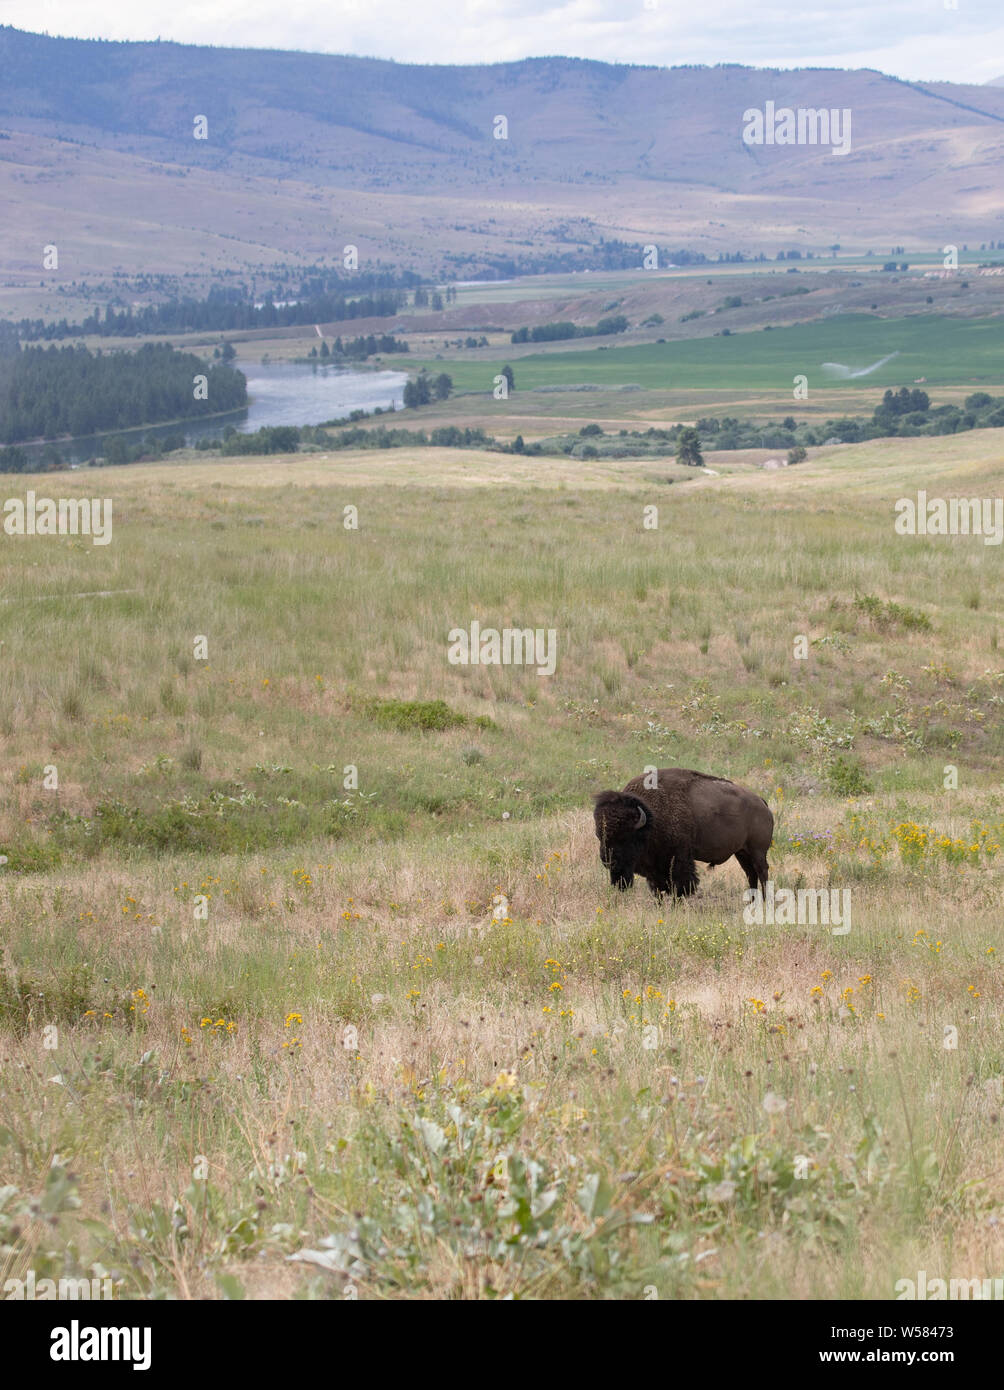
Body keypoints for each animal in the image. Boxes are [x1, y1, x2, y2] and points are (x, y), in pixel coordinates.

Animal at [593, 767, 773, 899]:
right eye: (599, 835)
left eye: (624, 837)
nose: (607, 861)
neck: (651, 817)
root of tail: (762, 803)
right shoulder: (655, 866)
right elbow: (657, 887)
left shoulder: (678, 858)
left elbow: (680, 883)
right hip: (741, 852)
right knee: (751, 874)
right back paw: (752, 901)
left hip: (757, 851)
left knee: (761, 872)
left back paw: (764, 901)